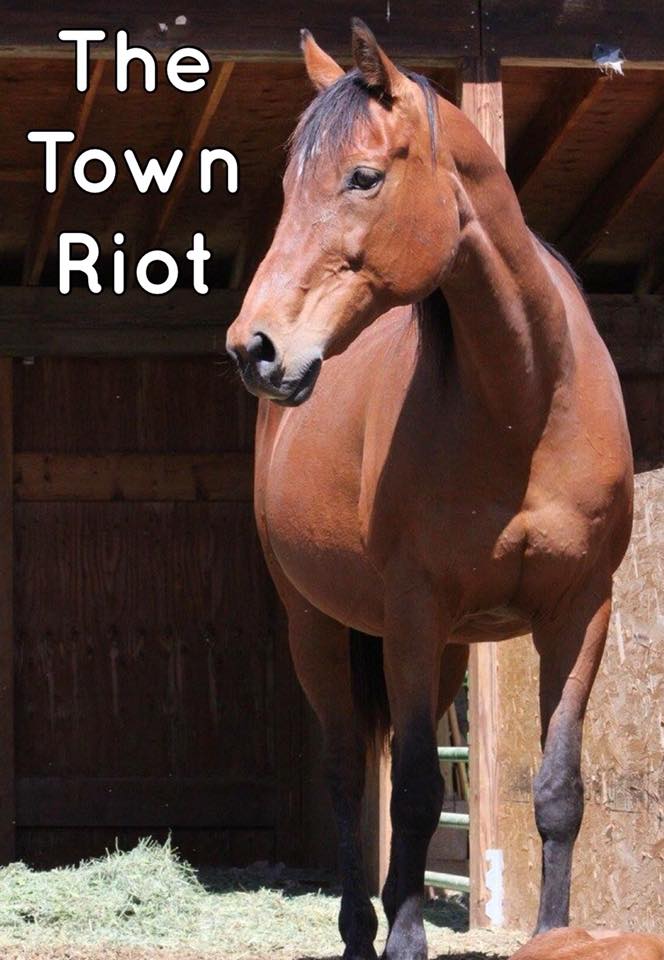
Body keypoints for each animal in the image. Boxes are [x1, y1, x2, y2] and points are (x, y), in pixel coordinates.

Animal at [226, 20, 634, 960]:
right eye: (289, 186)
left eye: (363, 177)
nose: (254, 348)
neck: (526, 404)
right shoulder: (413, 610)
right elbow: (411, 791)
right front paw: (404, 940)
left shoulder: (579, 611)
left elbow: (557, 791)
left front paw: (552, 932)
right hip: (320, 625)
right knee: (349, 772)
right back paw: (357, 928)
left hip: (444, 647)